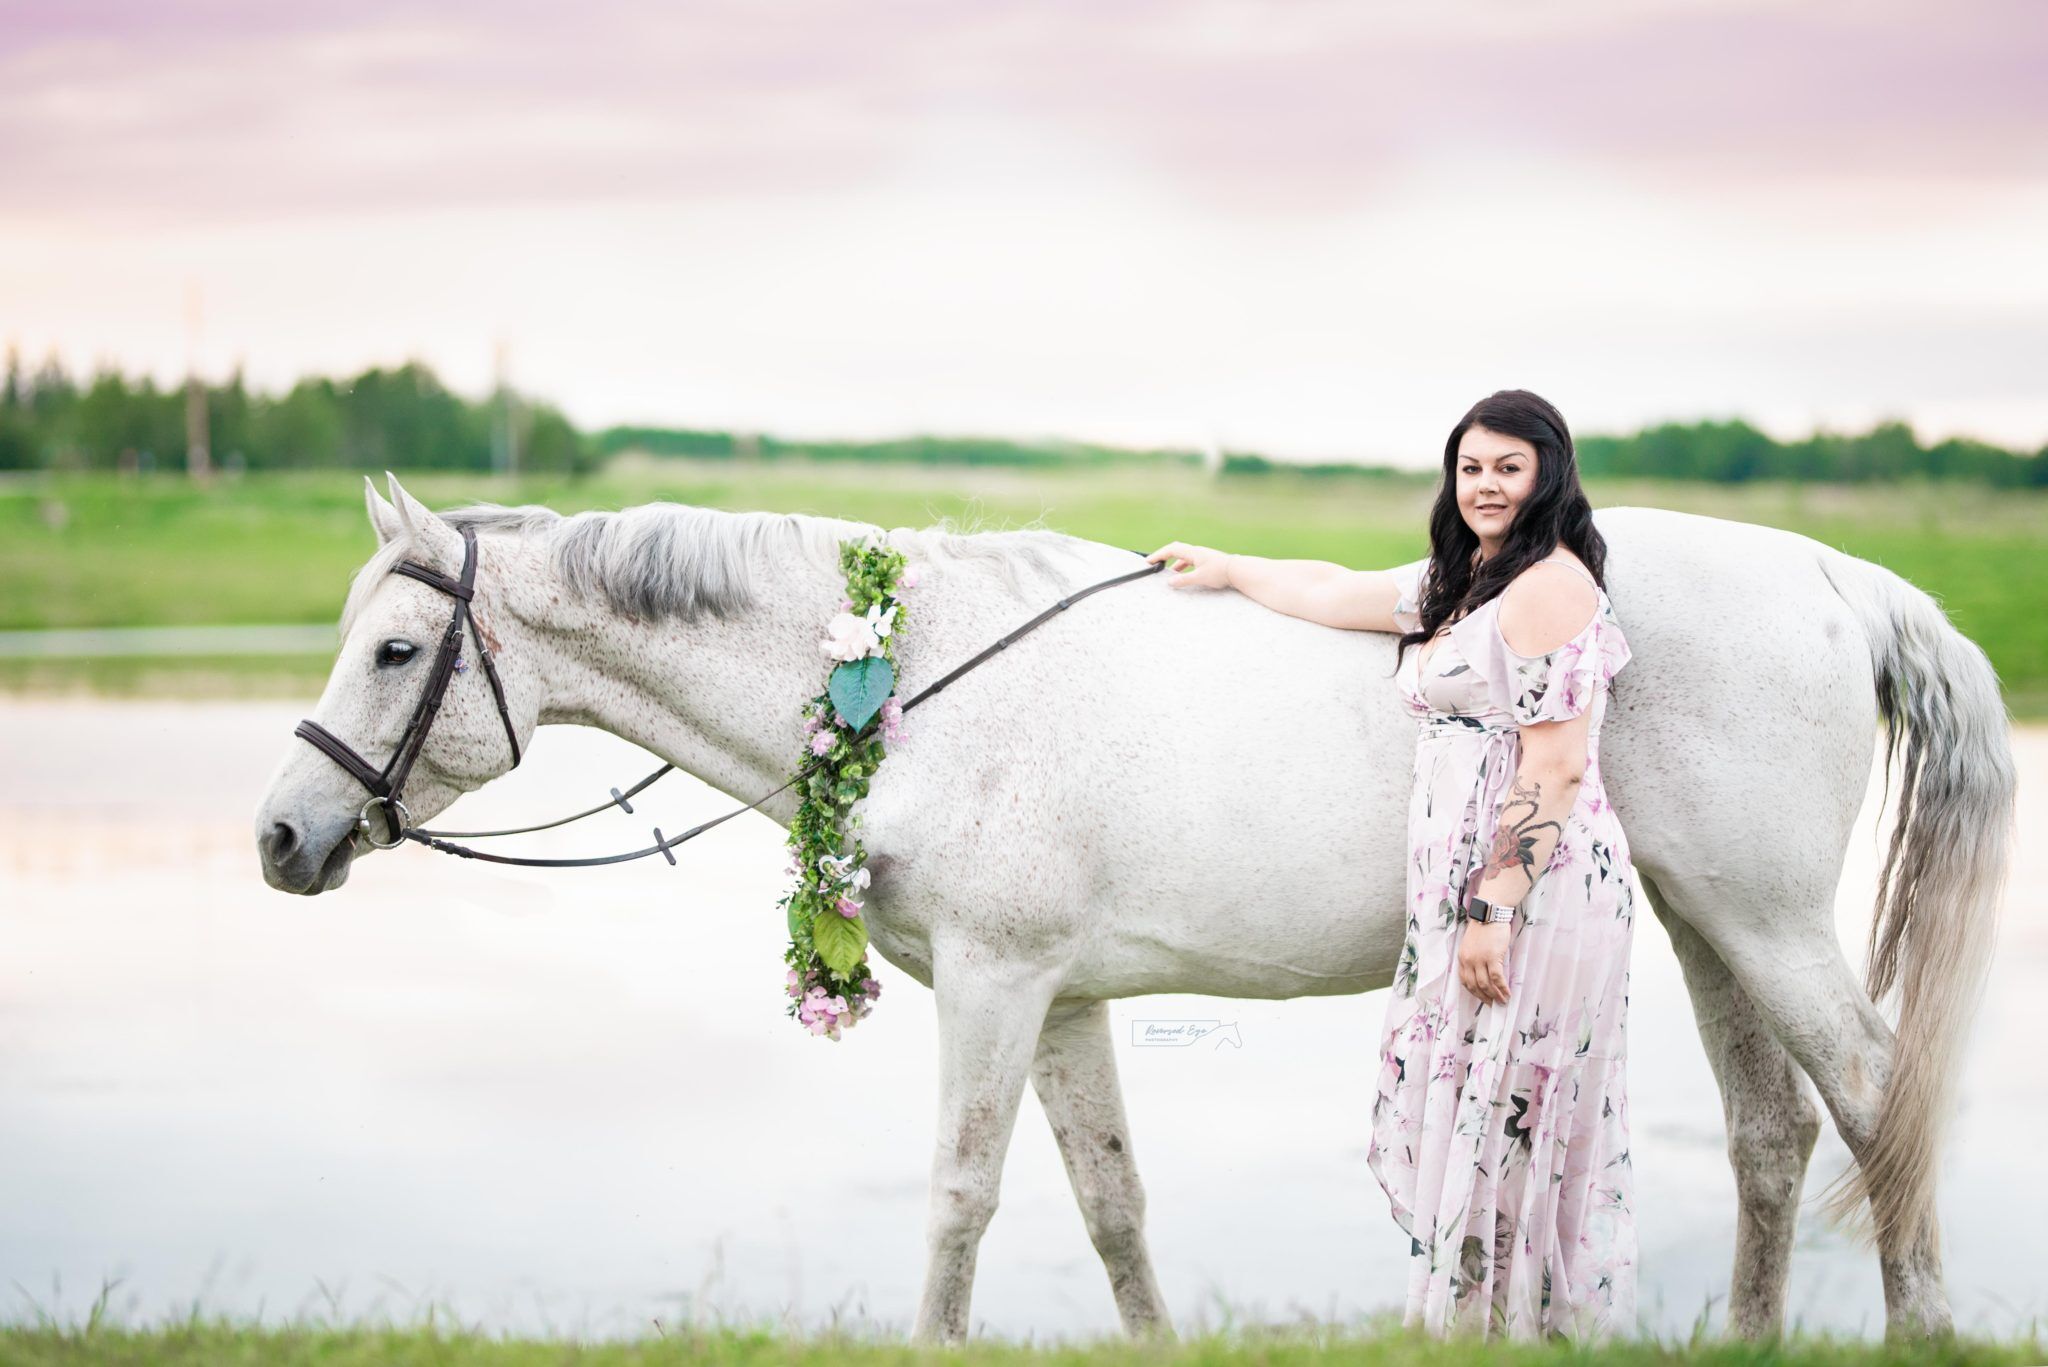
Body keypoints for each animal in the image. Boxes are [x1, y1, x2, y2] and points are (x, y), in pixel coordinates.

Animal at [255, 473, 2012, 1344]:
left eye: (397, 651)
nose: (282, 832)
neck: (904, 678)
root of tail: (1839, 580)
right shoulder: (1065, 1000)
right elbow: (1111, 1204)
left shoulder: (994, 985)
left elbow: (960, 1196)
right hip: (1713, 925)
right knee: (1776, 1131)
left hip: (1764, 922)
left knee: (1875, 1098)